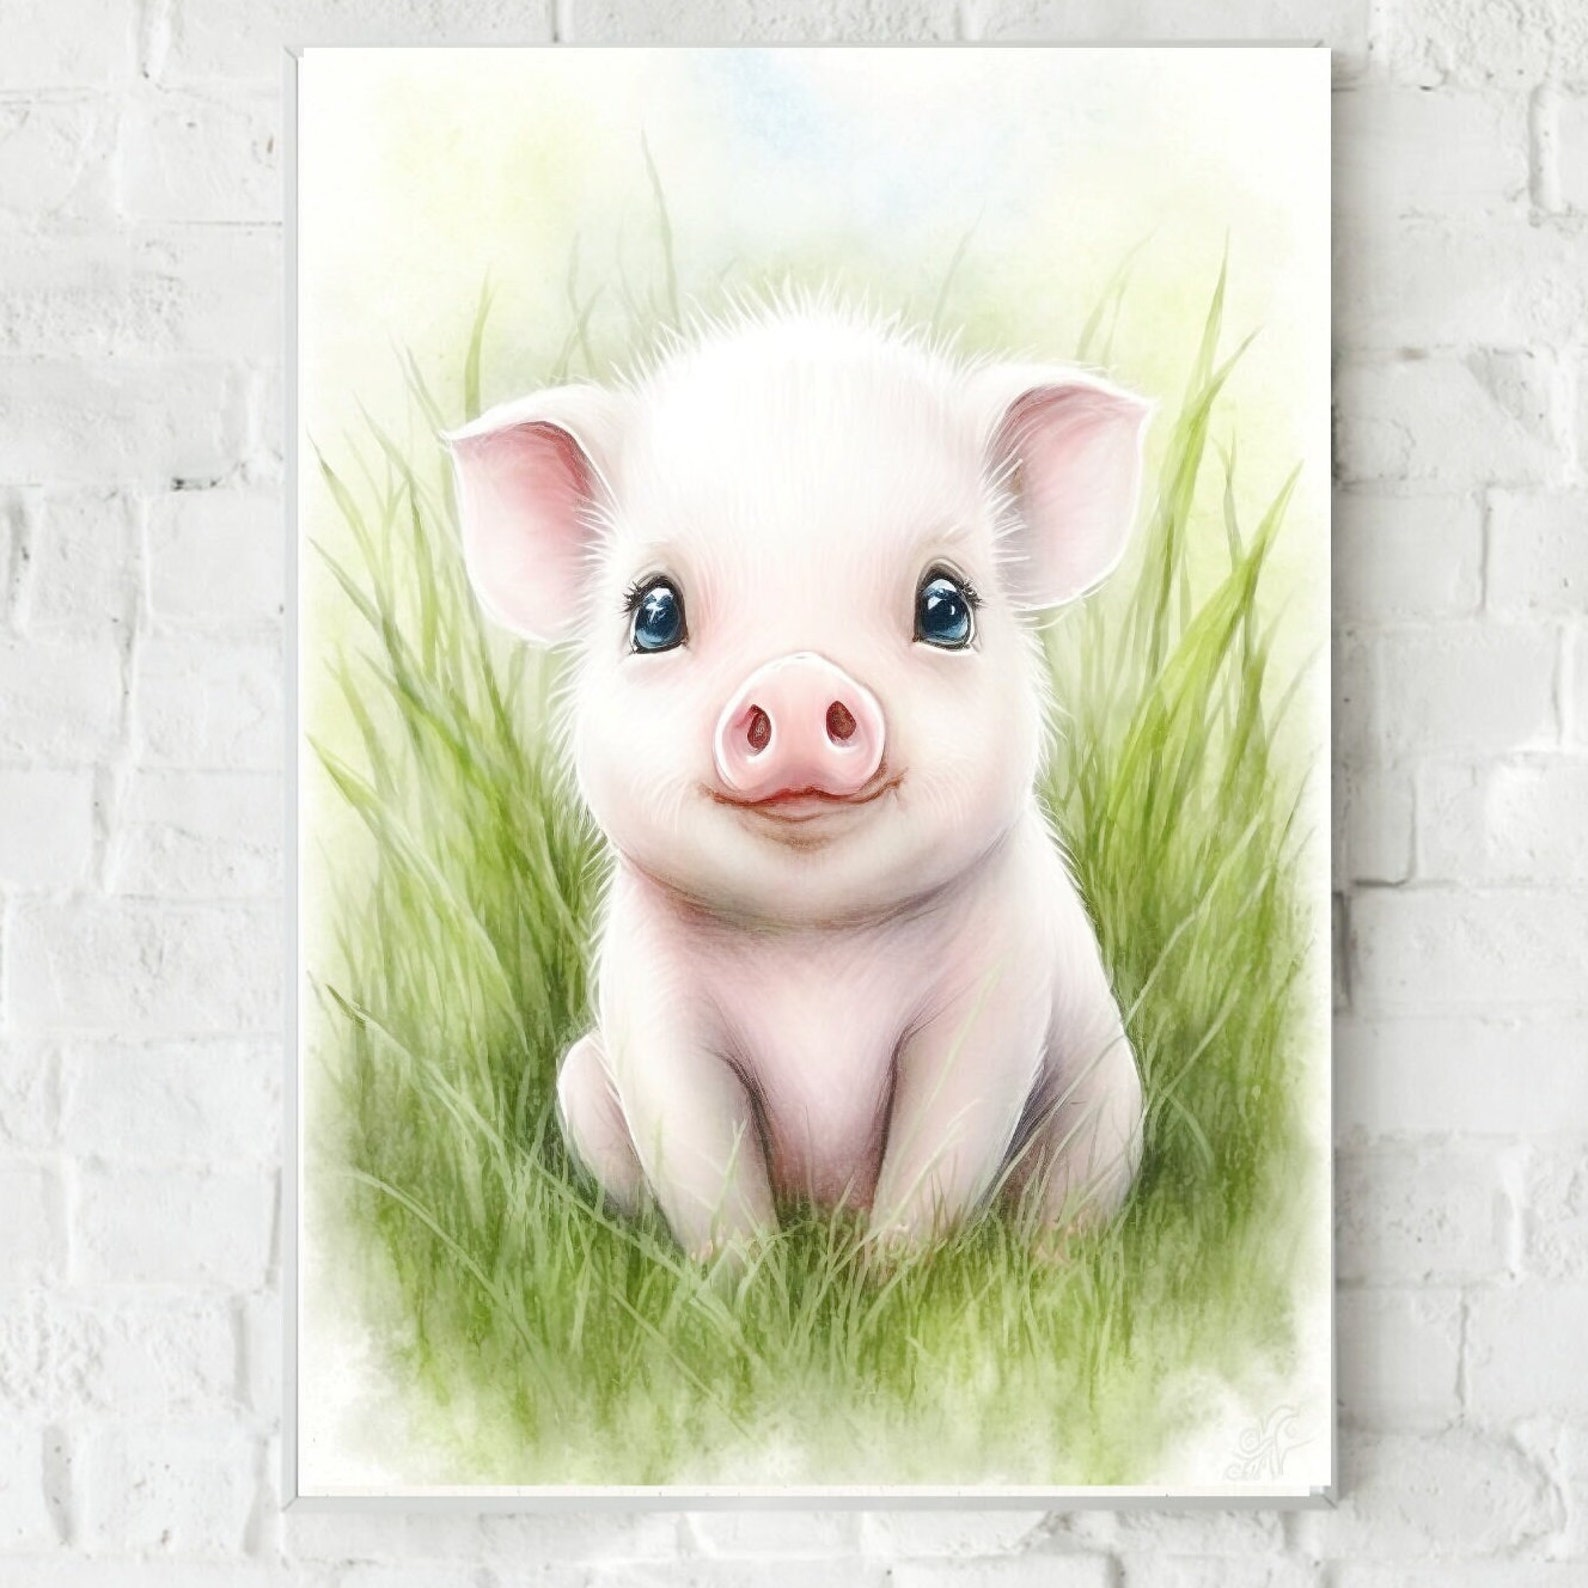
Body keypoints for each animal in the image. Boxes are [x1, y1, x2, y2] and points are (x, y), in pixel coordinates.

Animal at [445, 301, 1151, 1260]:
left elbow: (946, 1142)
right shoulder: (650, 1006)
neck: (816, 955)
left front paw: (885, 1278)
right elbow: (700, 1160)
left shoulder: (1000, 982)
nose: (797, 680)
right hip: (581, 1086)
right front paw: (750, 1288)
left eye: (946, 607)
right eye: (655, 614)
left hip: (1112, 1102)